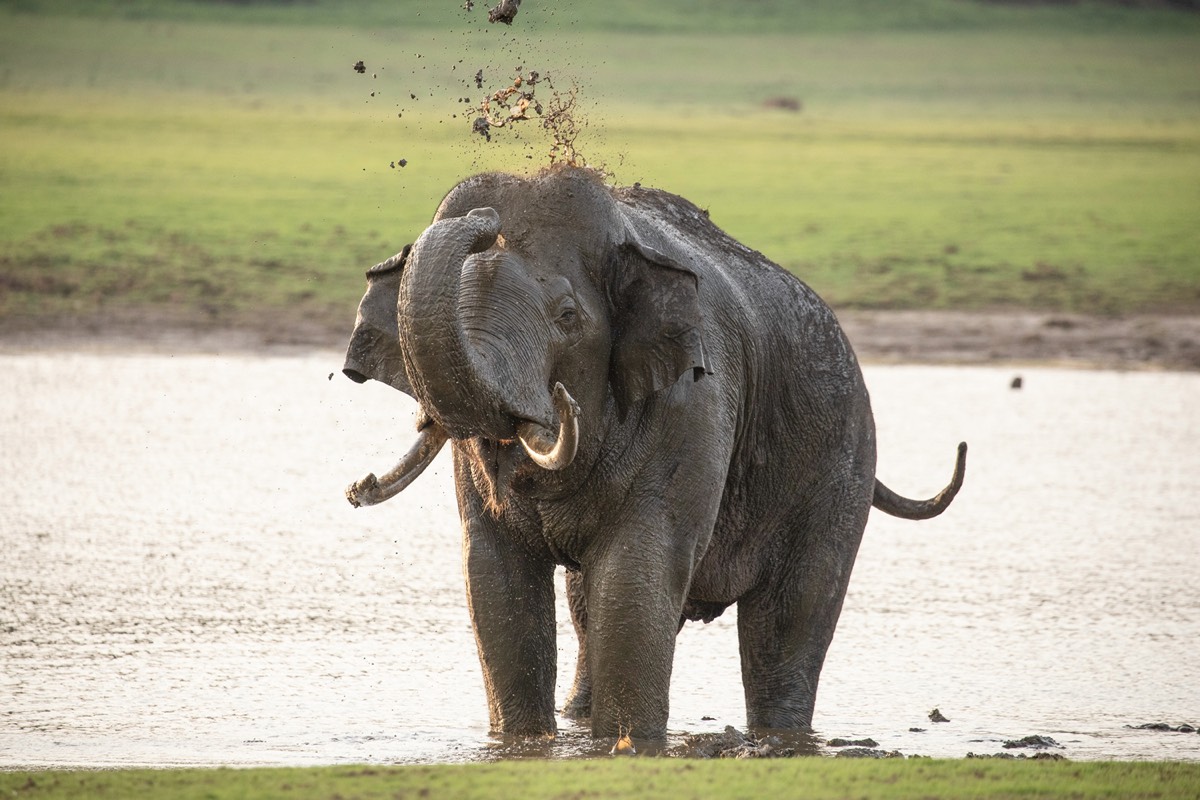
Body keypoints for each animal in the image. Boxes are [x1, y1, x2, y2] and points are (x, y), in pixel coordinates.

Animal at [342, 164, 966, 741]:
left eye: (567, 317)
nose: (483, 221)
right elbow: (495, 578)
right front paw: (523, 743)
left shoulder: (693, 406)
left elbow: (635, 574)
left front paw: (630, 743)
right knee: (586, 609)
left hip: (840, 460)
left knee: (792, 614)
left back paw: (780, 736)